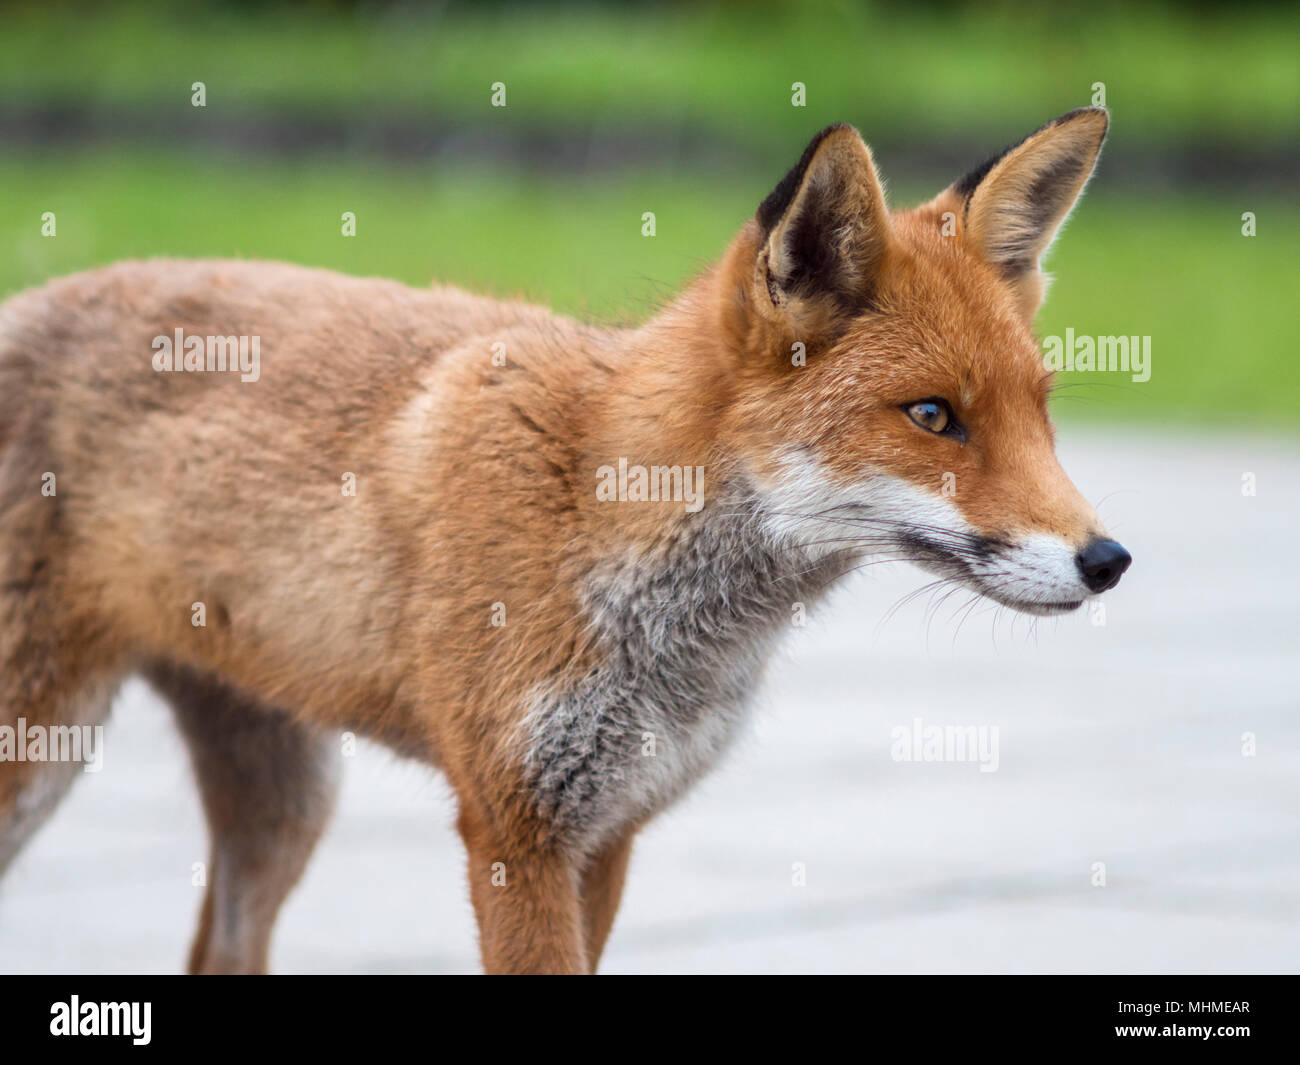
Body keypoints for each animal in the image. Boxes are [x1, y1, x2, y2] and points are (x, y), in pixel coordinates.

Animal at [0, 107, 1130, 974]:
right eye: (933, 416)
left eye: (1040, 410)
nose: (1109, 562)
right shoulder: (516, 827)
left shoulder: (612, 824)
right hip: (41, 756)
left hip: (284, 805)